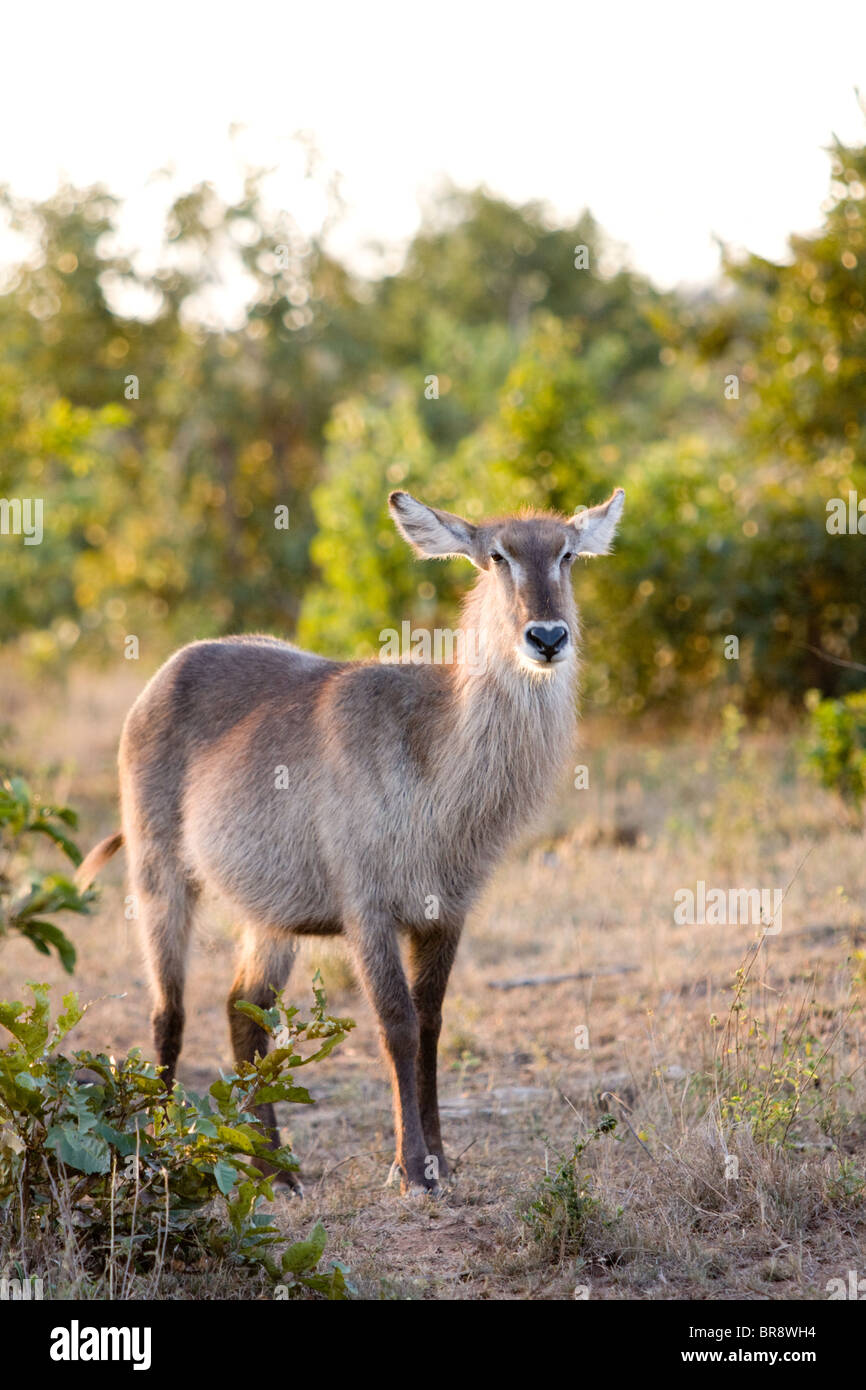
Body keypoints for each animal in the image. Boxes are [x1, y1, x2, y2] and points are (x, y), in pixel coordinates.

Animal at [77, 486, 624, 1194]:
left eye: (567, 554)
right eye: (497, 555)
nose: (548, 637)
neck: (432, 754)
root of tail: (176, 663)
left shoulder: (447, 912)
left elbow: (431, 1024)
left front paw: (440, 1160)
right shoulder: (368, 908)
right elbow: (397, 1026)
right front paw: (411, 1168)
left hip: (269, 913)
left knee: (242, 1007)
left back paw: (275, 1171)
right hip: (157, 873)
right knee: (168, 1012)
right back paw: (158, 1154)